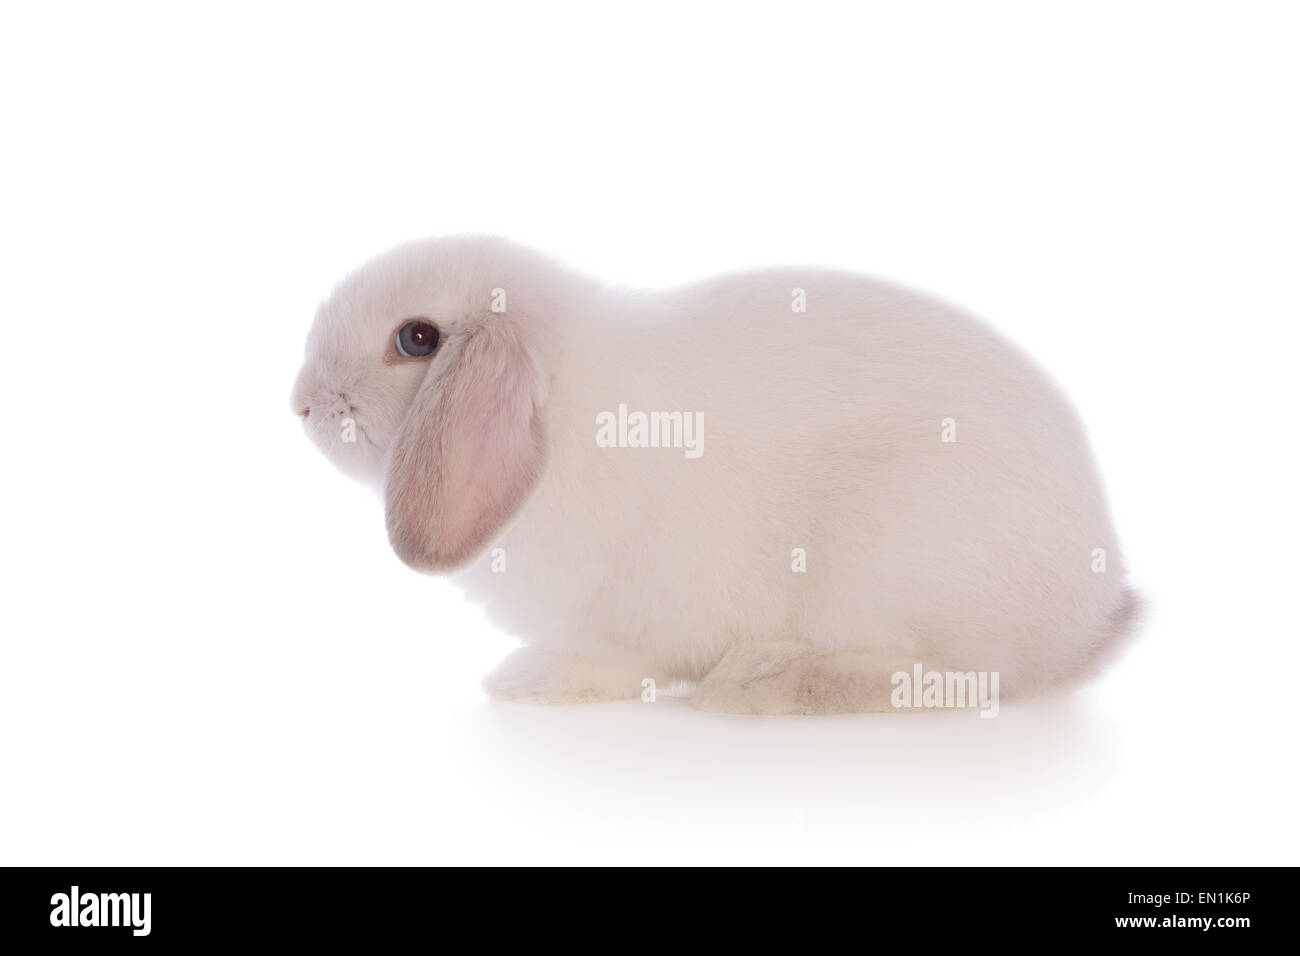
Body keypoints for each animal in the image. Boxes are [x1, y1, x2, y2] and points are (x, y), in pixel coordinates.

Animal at [290, 235, 1140, 715]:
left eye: (417, 338)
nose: (300, 403)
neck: (559, 395)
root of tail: (1089, 616)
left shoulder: (613, 621)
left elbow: (603, 664)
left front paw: (529, 680)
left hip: (891, 559)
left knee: (946, 678)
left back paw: (765, 683)